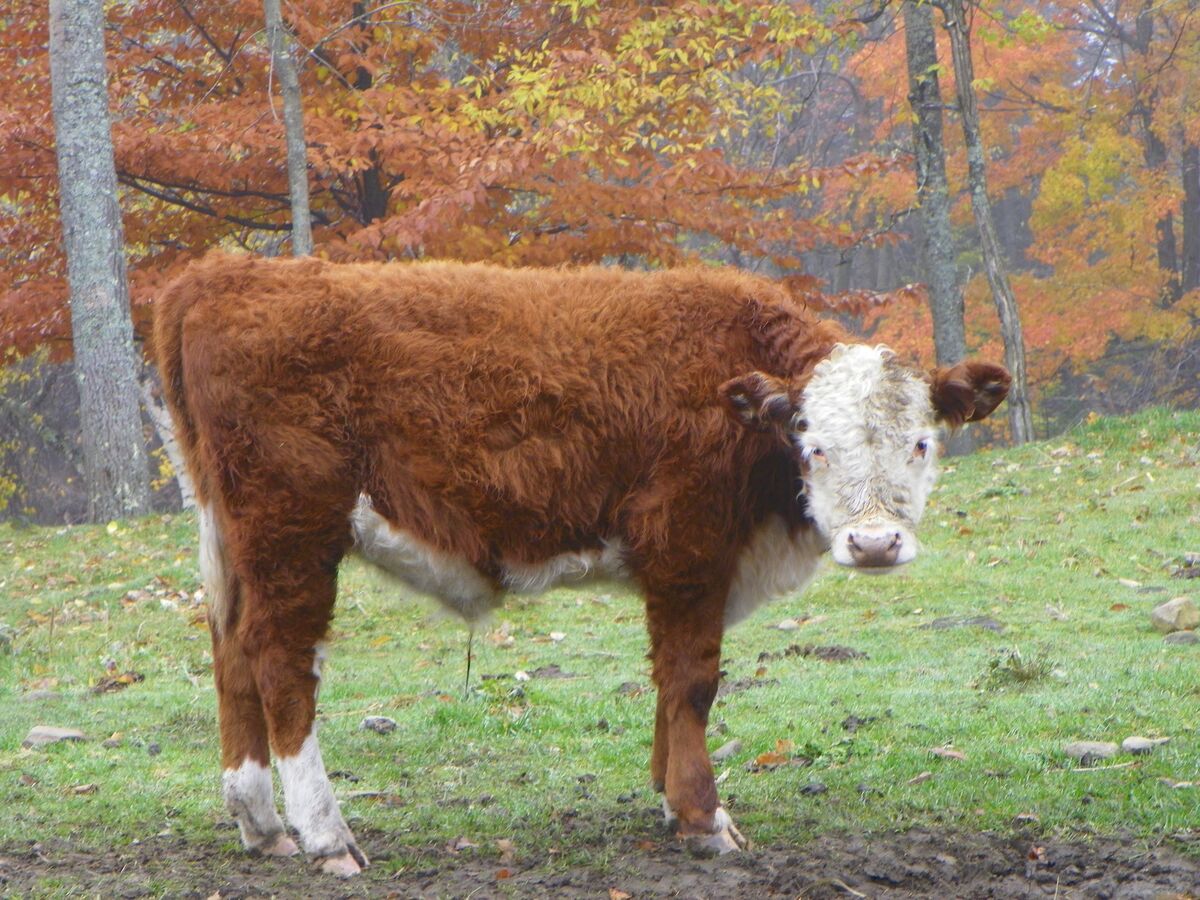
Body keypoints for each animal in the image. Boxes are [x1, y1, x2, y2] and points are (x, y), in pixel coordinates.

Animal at [153, 253, 1009, 876]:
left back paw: (259, 822)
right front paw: (702, 817)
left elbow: (668, 683)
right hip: (292, 530)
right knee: (280, 662)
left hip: (235, 539)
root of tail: (225, 273)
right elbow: (693, 680)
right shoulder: (687, 544)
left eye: (921, 442)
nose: (874, 544)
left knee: (231, 651)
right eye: (815, 445)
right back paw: (326, 836)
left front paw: (669, 798)